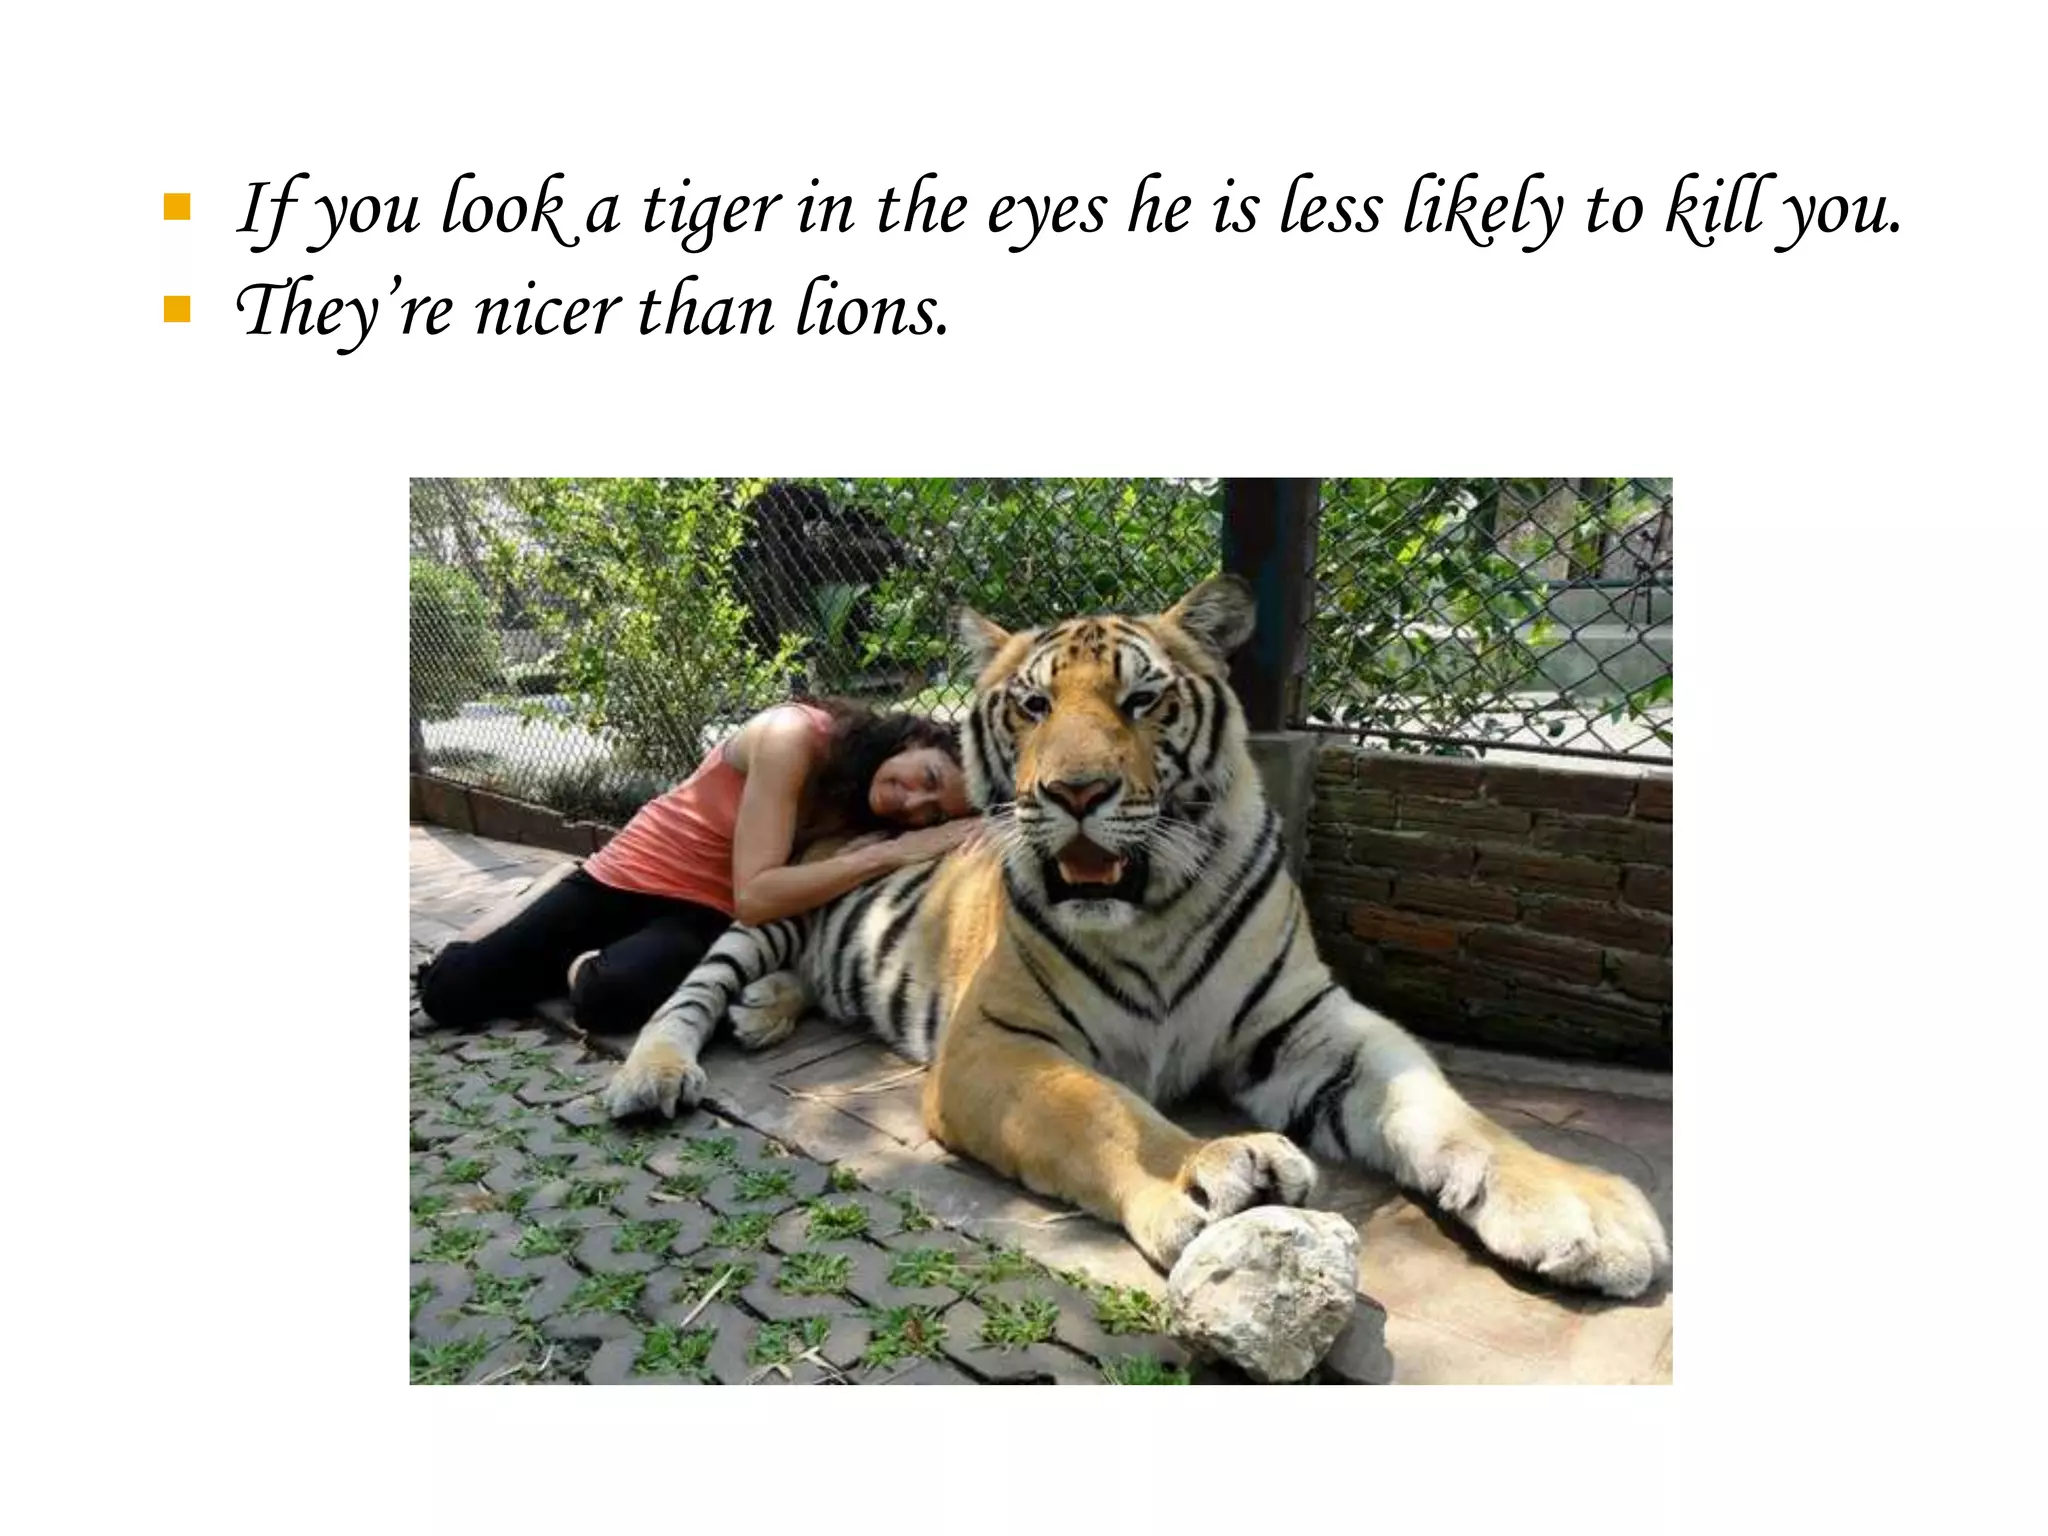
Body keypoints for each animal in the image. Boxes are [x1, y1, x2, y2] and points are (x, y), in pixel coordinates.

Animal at [602, 575, 1670, 1297]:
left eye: (1142, 699)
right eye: (1033, 705)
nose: (1075, 793)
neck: (1155, 911)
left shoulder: (1312, 1025)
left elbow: (1448, 1111)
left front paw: (1580, 1208)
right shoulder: (995, 1044)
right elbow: (1105, 1113)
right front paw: (1208, 1177)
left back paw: (765, 1015)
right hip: (760, 919)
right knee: (684, 996)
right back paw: (655, 1075)